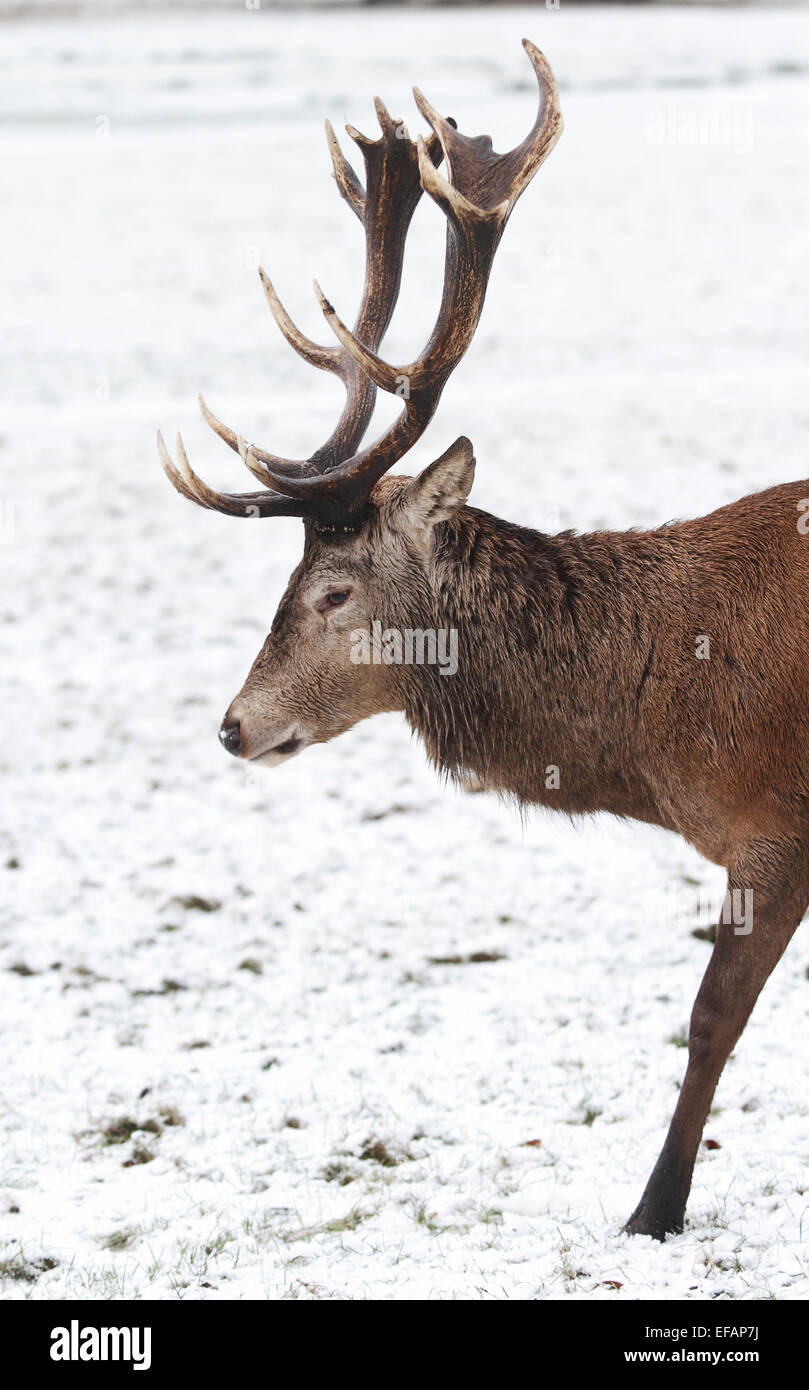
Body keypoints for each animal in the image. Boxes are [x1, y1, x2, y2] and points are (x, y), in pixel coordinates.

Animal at [158, 40, 809, 1241]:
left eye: (332, 590)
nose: (231, 727)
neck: (661, 729)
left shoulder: (775, 823)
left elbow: (709, 1018)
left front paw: (652, 1210)